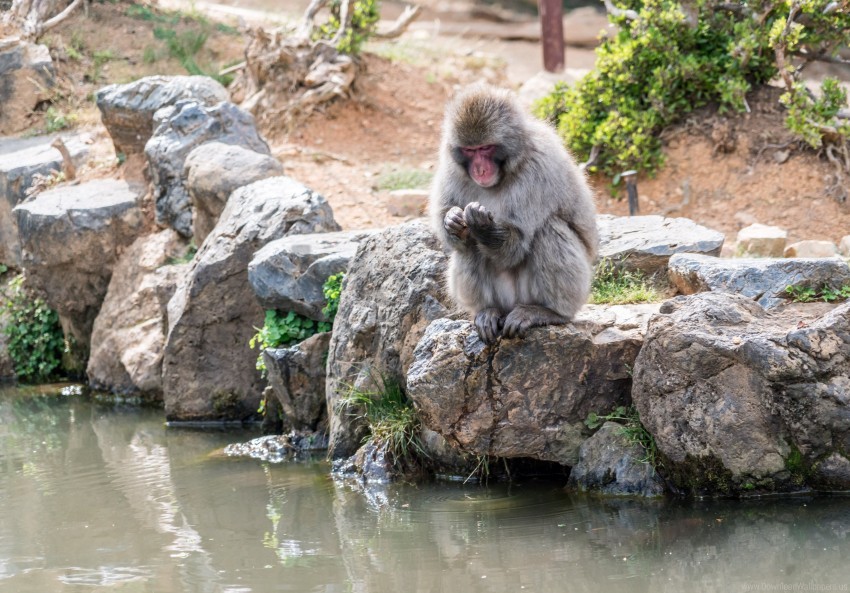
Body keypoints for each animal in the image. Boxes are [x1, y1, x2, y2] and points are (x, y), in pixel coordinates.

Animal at [429, 84, 599, 345]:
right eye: (470, 150)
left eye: (486, 148)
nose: (480, 169)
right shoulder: (451, 166)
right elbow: (451, 228)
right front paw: (453, 220)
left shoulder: (539, 168)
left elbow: (516, 245)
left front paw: (482, 225)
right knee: (467, 246)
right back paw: (487, 311)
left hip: (562, 292)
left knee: (549, 229)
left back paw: (549, 312)